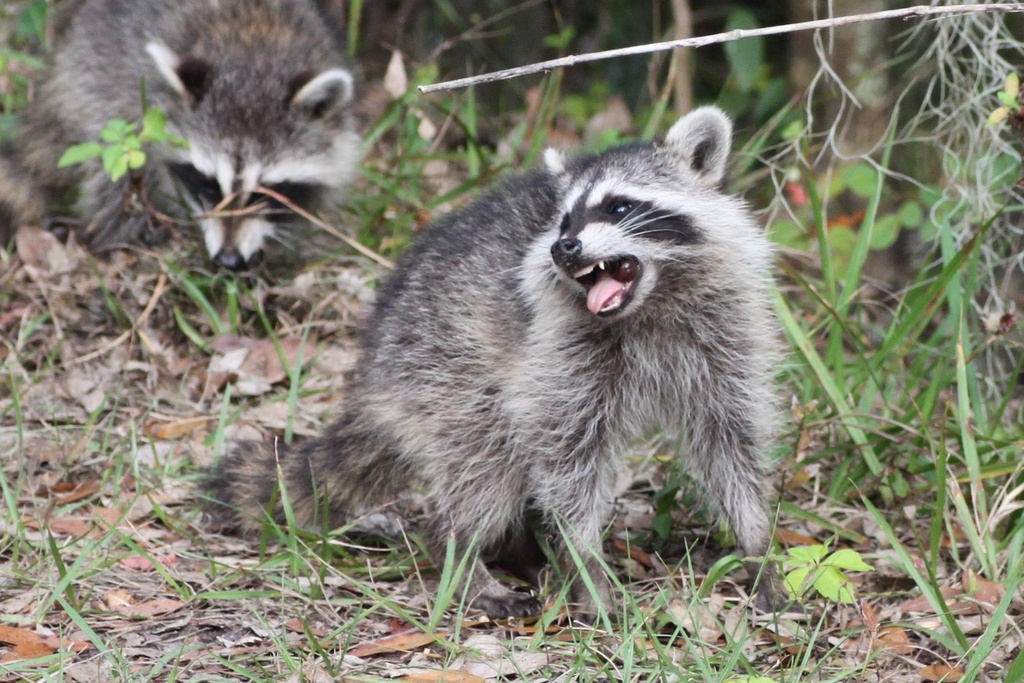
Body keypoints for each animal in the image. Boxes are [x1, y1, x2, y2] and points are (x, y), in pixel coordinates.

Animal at [207, 107, 783, 618]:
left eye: (619, 207)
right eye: (564, 218)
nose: (563, 247)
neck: (651, 304)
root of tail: (374, 364)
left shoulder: (723, 334)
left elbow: (728, 440)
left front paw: (755, 542)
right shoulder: (559, 350)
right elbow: (569, 458)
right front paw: (586, 563)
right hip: (442, 362)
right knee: (485, 460)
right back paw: (461, 551)